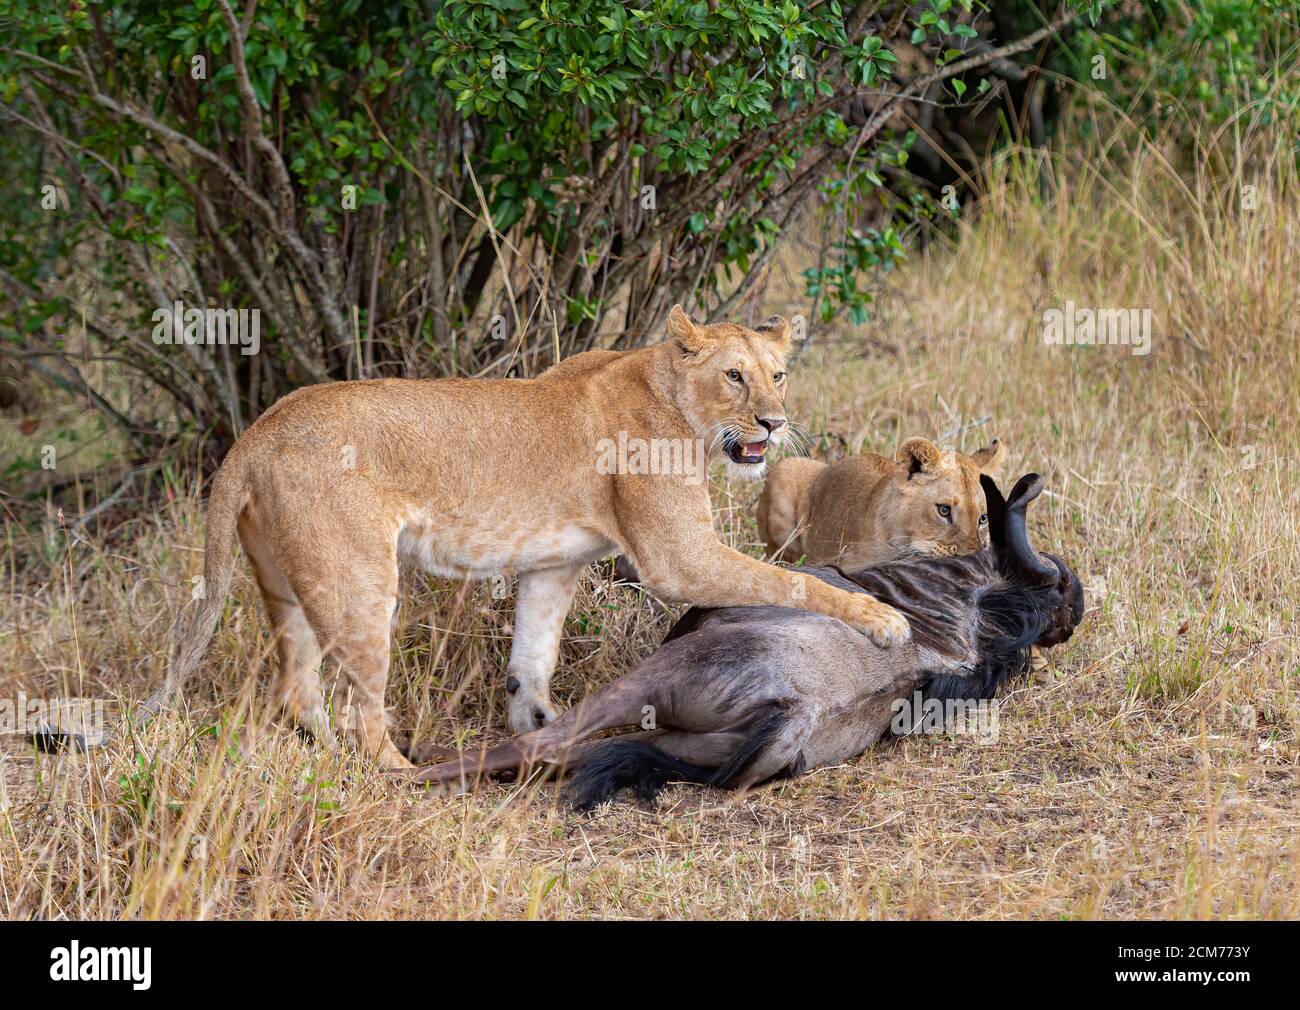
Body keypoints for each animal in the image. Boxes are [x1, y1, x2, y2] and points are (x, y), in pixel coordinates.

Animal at [146, 305, 910, 769]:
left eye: (778, 374)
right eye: (734, 376)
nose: (775, 424)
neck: (677, 404)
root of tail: (258, 431)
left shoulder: (553, 566)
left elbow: (532, 654)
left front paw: (539, 726)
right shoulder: (677, 559)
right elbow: (793, 578)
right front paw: (881, 620)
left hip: (287, 581)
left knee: (296, 686)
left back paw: (329, 753)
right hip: (357, 579)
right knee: (359, 703)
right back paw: (395, 772)